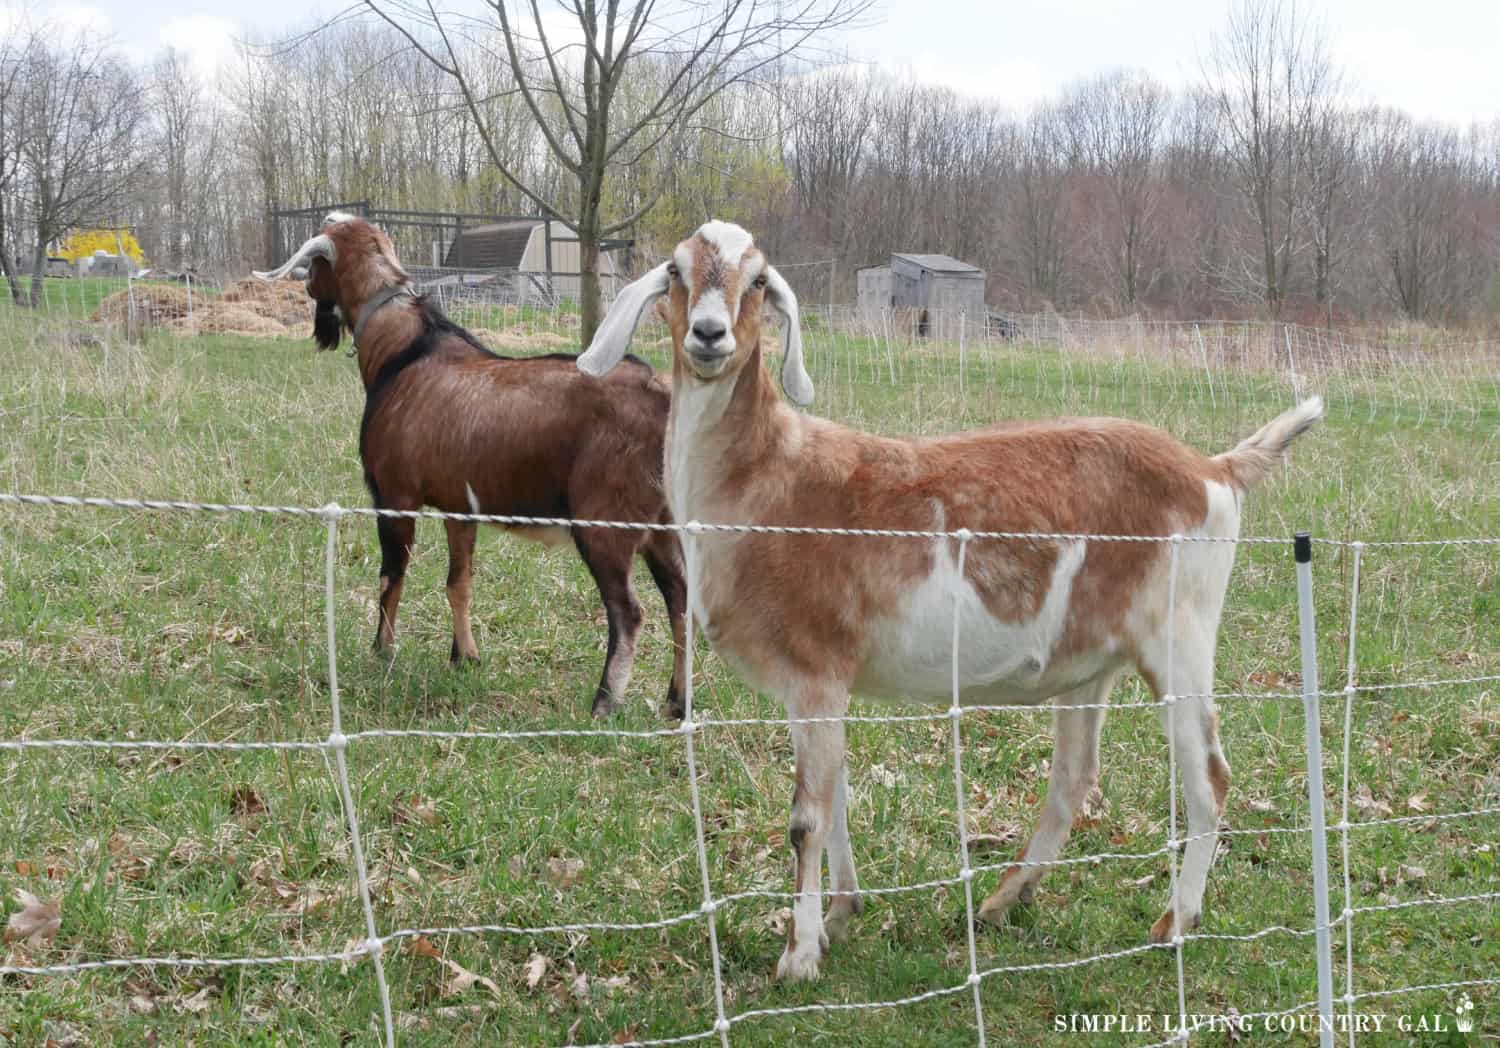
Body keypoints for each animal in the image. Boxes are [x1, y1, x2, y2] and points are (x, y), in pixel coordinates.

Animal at [255, 213, 688, 719]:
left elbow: (391, 575)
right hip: (662, 524)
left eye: (318, 265)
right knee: (680, 598)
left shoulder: (395, 495)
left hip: (605, 522)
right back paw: (676, 701)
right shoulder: (459, 506)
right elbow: (458, 582)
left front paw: (382, 651)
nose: (307, 288)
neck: (405, 352)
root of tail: (660, 397)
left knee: (629, 611)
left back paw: (604, 702)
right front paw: (464, 656)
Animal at [578, 219, 1324, 981]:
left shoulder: (816, 670)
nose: (709, 334)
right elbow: (835, 796)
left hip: (1180, 634)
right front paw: (841, 916)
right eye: (676, 270)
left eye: (757, 280)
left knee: (1210, 778)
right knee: (1074, 778)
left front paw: (798, 956)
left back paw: (1175, 922)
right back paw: (1003, 900)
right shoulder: (817, 687)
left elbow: (806, 817)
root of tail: (1214, 470)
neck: (769, 479)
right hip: (1090, 662)